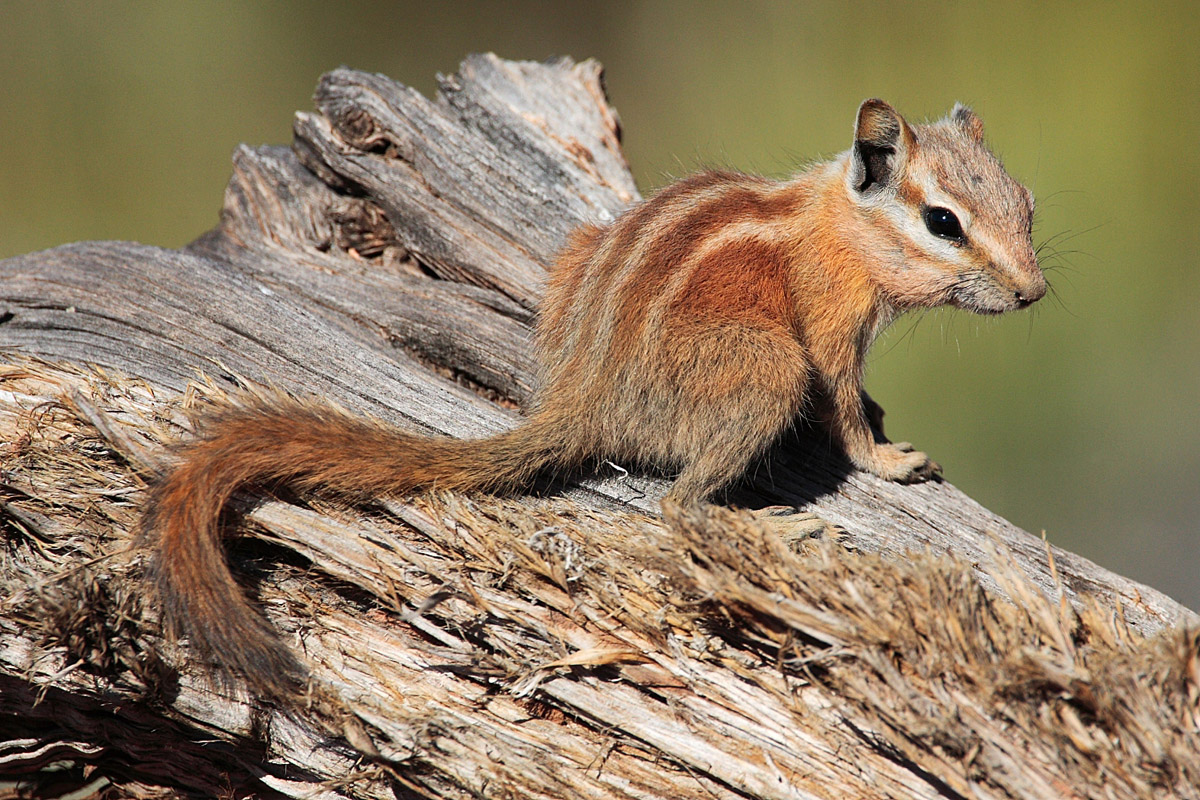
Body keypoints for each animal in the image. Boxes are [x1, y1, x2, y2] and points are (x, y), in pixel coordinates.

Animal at [141, 99, 1045, 700]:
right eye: (943, 222)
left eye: (1028, 205)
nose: (1034, 293)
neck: (839, 225)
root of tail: (586, 395)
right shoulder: (827, 329)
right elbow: (846, 413)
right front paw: (888, 460)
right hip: (765, 371)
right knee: (680, 509)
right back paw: (773, 528)